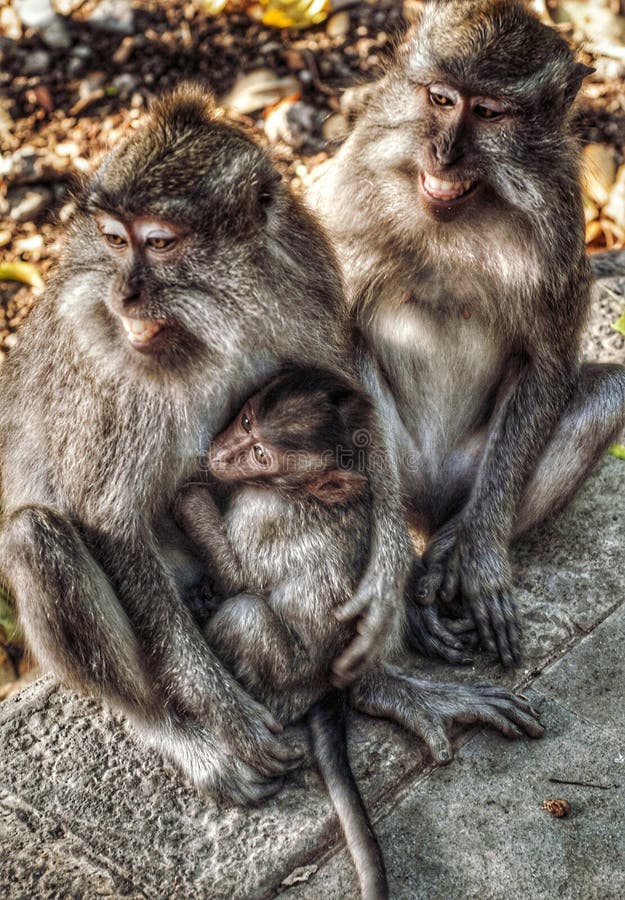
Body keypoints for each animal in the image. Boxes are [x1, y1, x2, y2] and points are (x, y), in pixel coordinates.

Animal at [177, 365, 544, 898]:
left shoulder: (263, 512)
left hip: (284, 680)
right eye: (245, 421)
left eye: (262, 455)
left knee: (247, 613)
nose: (222, 454)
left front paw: (189, 497)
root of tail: (319, 688)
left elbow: (241, 578)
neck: (296, 490)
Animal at [308, 0, 625, 669]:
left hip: (465, 477)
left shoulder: (559, 220)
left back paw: (447, 552)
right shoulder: (349, 191)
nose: (444, 151)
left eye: (488, 112)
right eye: (441, 98)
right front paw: (389, 566)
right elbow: (337, 342)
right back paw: (401, 558)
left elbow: (547, 364)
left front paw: (479, 557)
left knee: (610, 395)